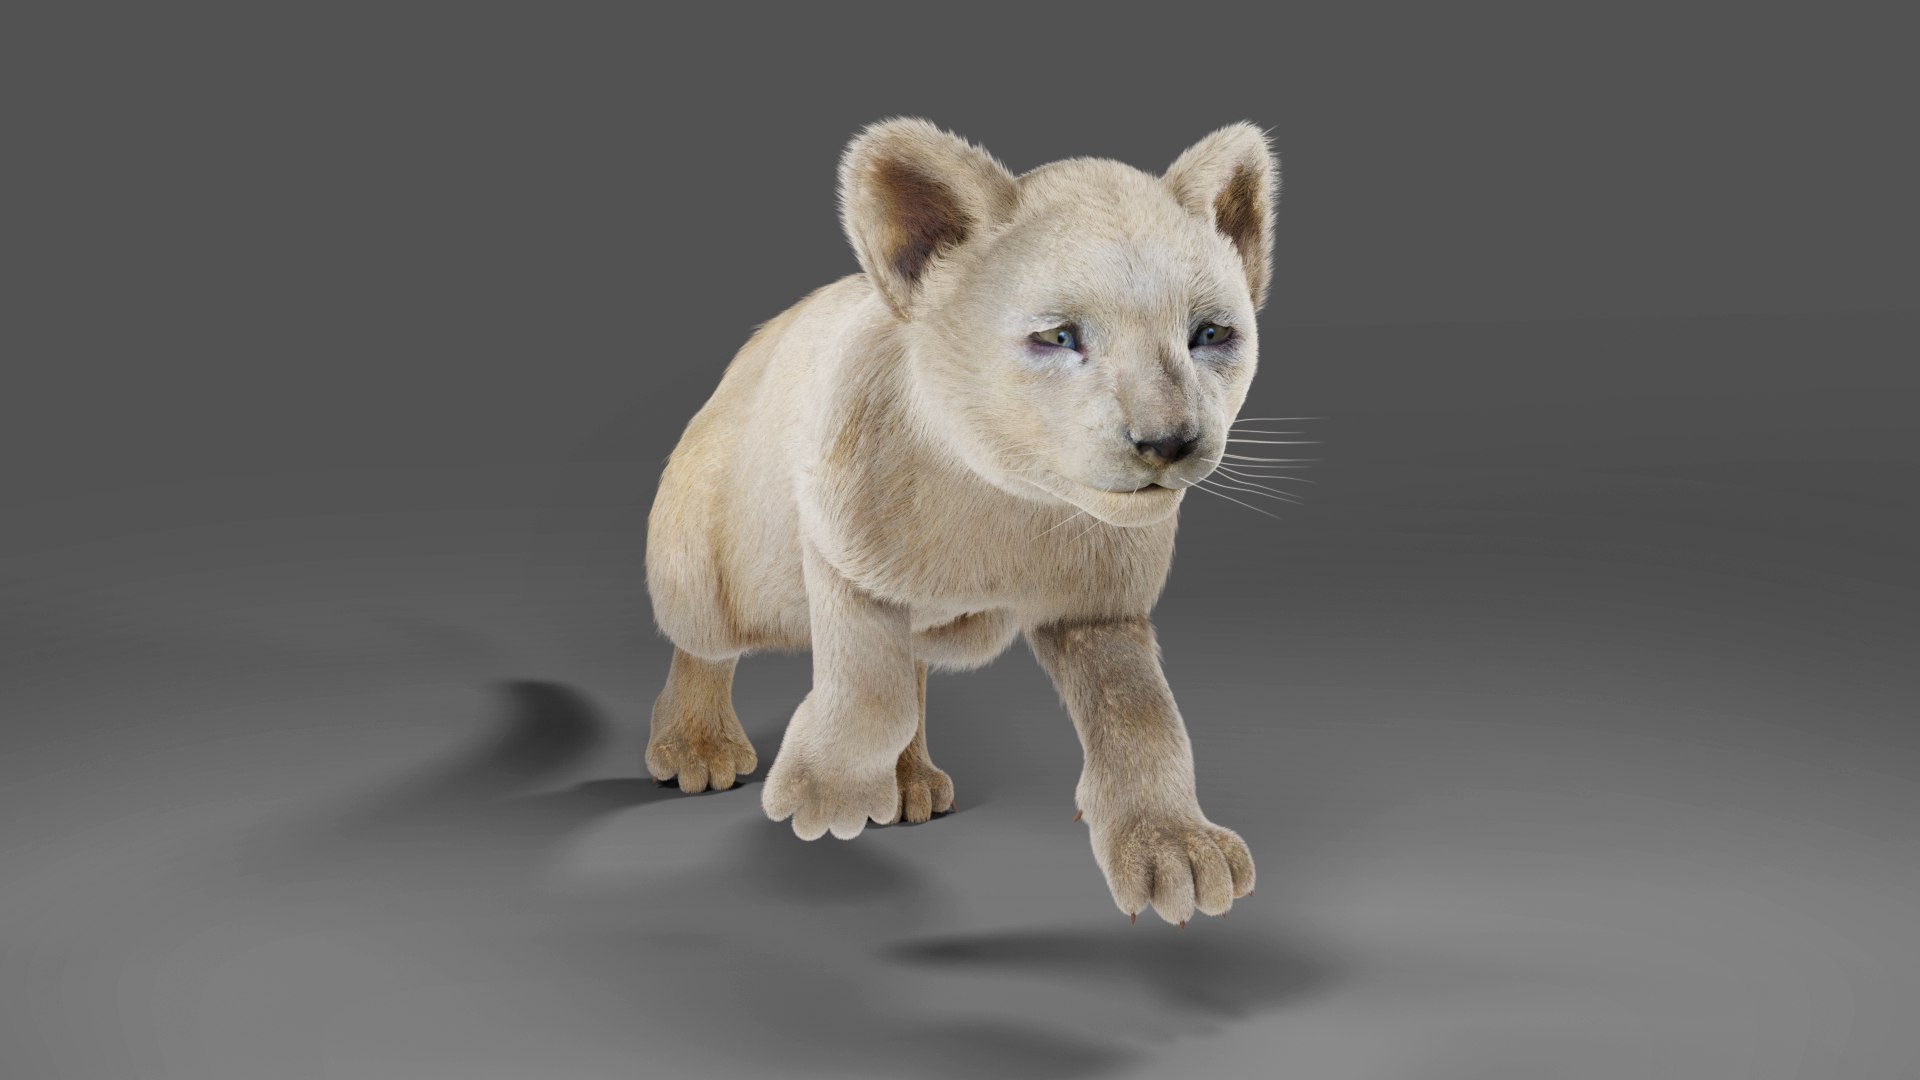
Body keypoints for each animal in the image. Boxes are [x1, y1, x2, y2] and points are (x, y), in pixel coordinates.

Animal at [644, 118, 1278, 925]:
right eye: (1060, 337)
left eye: (1209, 334)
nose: (1168, 441)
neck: (1006, 502)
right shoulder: (844, 557)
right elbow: (869, 690)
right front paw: (822, 797)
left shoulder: (1097, 611)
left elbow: (1143, 718)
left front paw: (1176, 851)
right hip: (706, 560)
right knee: (704, 647)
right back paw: (701, 752)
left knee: (914, 666)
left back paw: (912, 785)